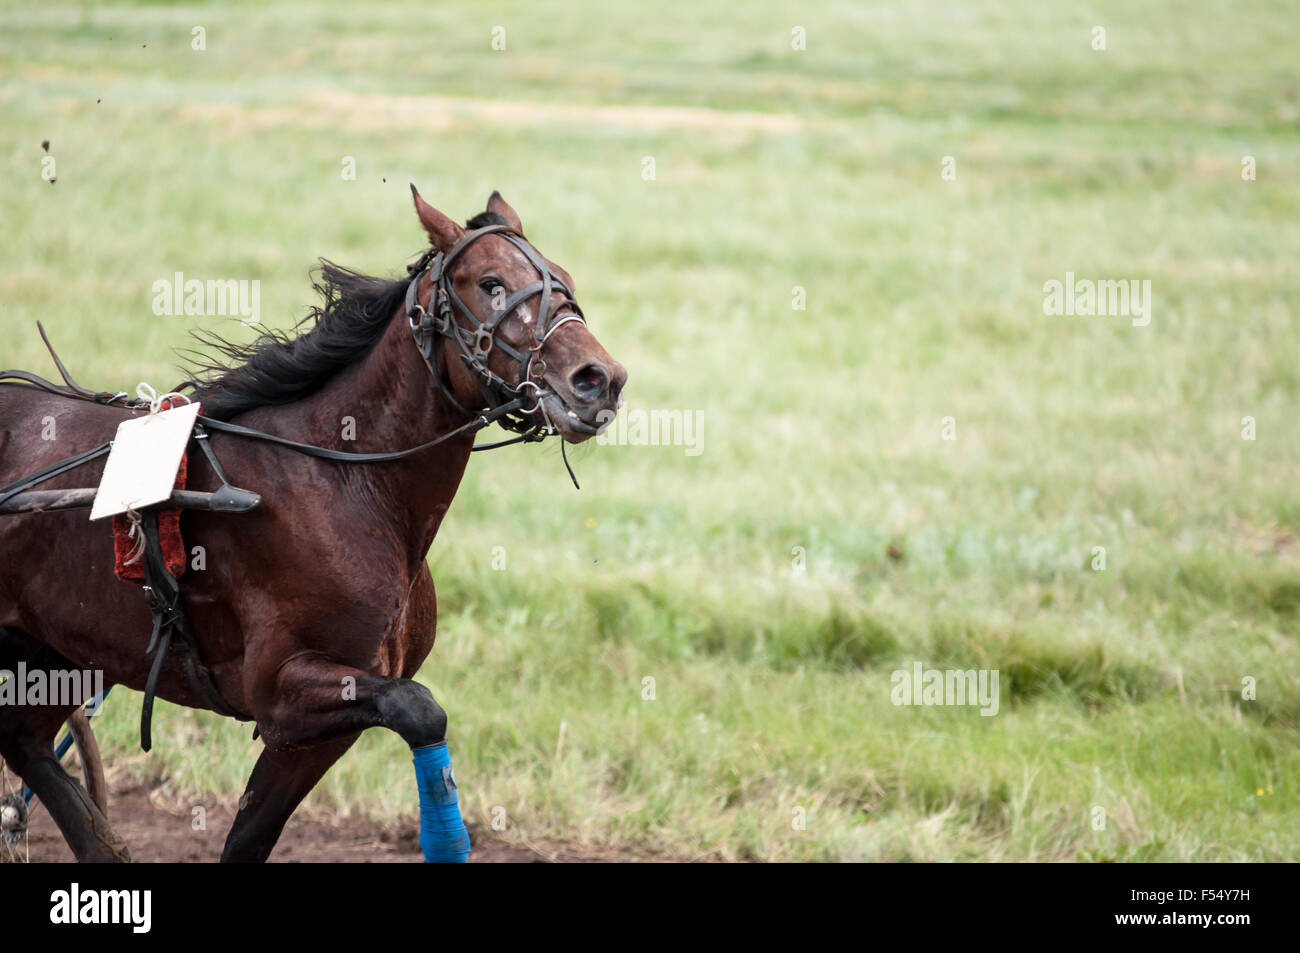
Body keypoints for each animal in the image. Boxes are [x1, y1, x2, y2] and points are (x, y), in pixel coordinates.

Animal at [0, 188, 626, 862]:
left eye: (564, 281)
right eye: (491, 283)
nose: (600, 379)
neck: (348, 479)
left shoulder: (321, 725)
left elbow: (252, 834)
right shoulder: (280, 690)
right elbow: (422, 711)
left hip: (56, 651)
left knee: (24, 737)